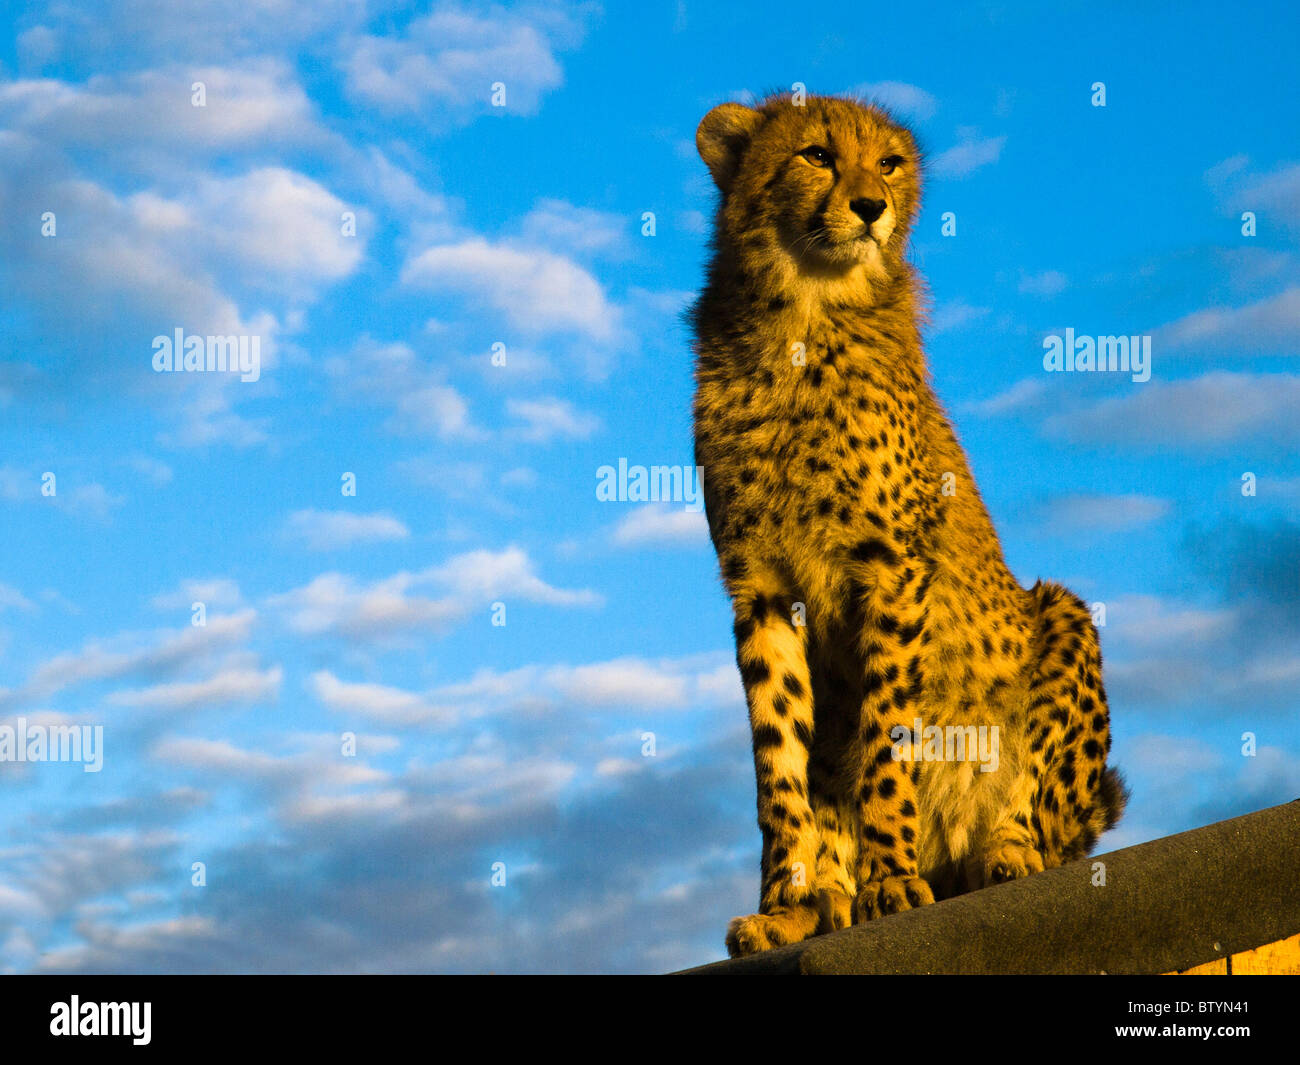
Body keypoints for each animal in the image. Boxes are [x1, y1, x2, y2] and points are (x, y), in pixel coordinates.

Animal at [688, 92, 1128, 959]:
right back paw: (826, 898)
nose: (871, 207)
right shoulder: (761, 591)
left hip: (1058, 614)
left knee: (1035, 811)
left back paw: (1002, 853)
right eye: (817, 155)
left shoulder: (889, 567)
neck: (802, 311)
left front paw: (890, 879)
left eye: (888, 164)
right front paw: (785, 901)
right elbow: (779, 762)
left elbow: (887, 737)